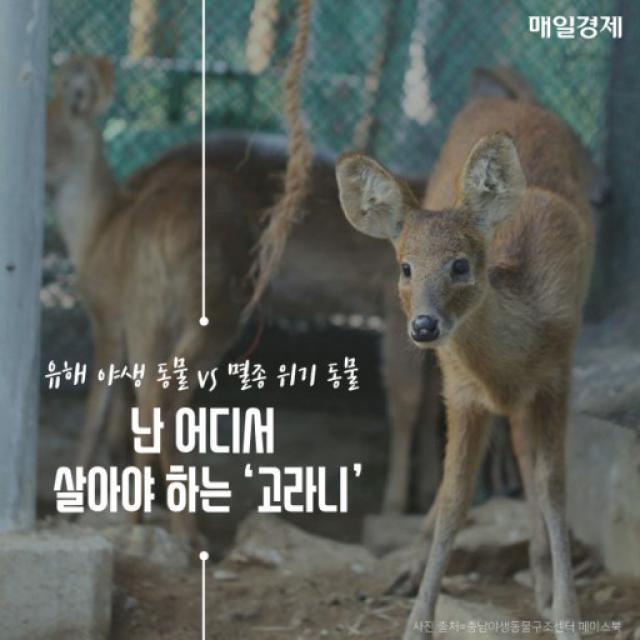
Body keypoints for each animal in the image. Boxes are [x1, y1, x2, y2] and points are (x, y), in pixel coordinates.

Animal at [335, 68, 598, 639]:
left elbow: (554, 486)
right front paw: (416, 621)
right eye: (405, 267)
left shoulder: (559, 373)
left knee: (527, 460)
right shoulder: (461, 390)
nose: (424, 326)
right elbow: (456, 496)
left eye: (459, 265)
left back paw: (543, 585)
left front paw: (568, 615)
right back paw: (410, 568)